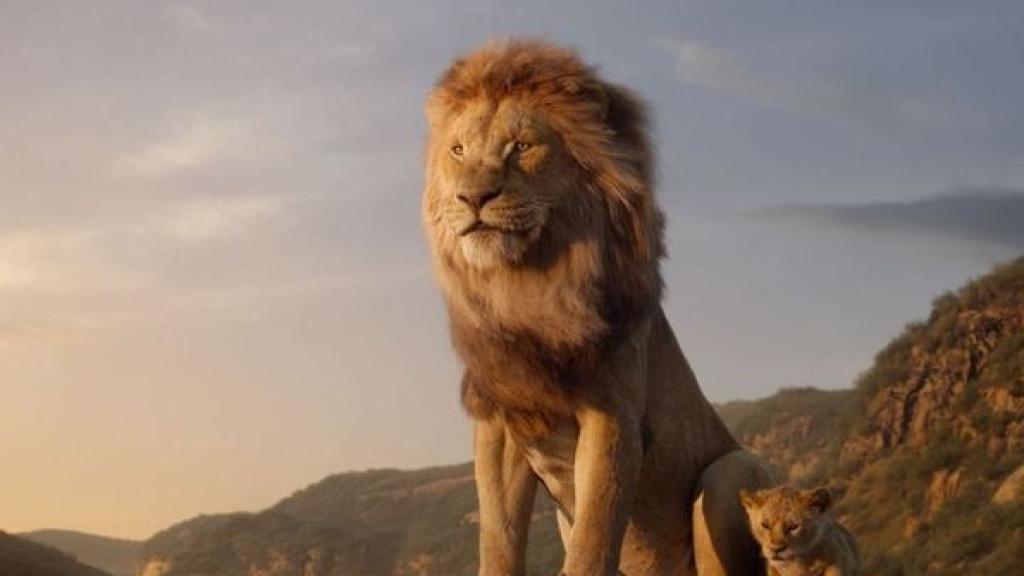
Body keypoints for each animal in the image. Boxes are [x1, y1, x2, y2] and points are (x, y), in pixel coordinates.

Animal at [422, 39, 776, 576]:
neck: (527, 286)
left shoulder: (612, 414)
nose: (472, 196)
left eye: (520, 147)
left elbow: (592, 539)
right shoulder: (500, 423)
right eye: (458, 150)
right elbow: (498, 537)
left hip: (728, 473)